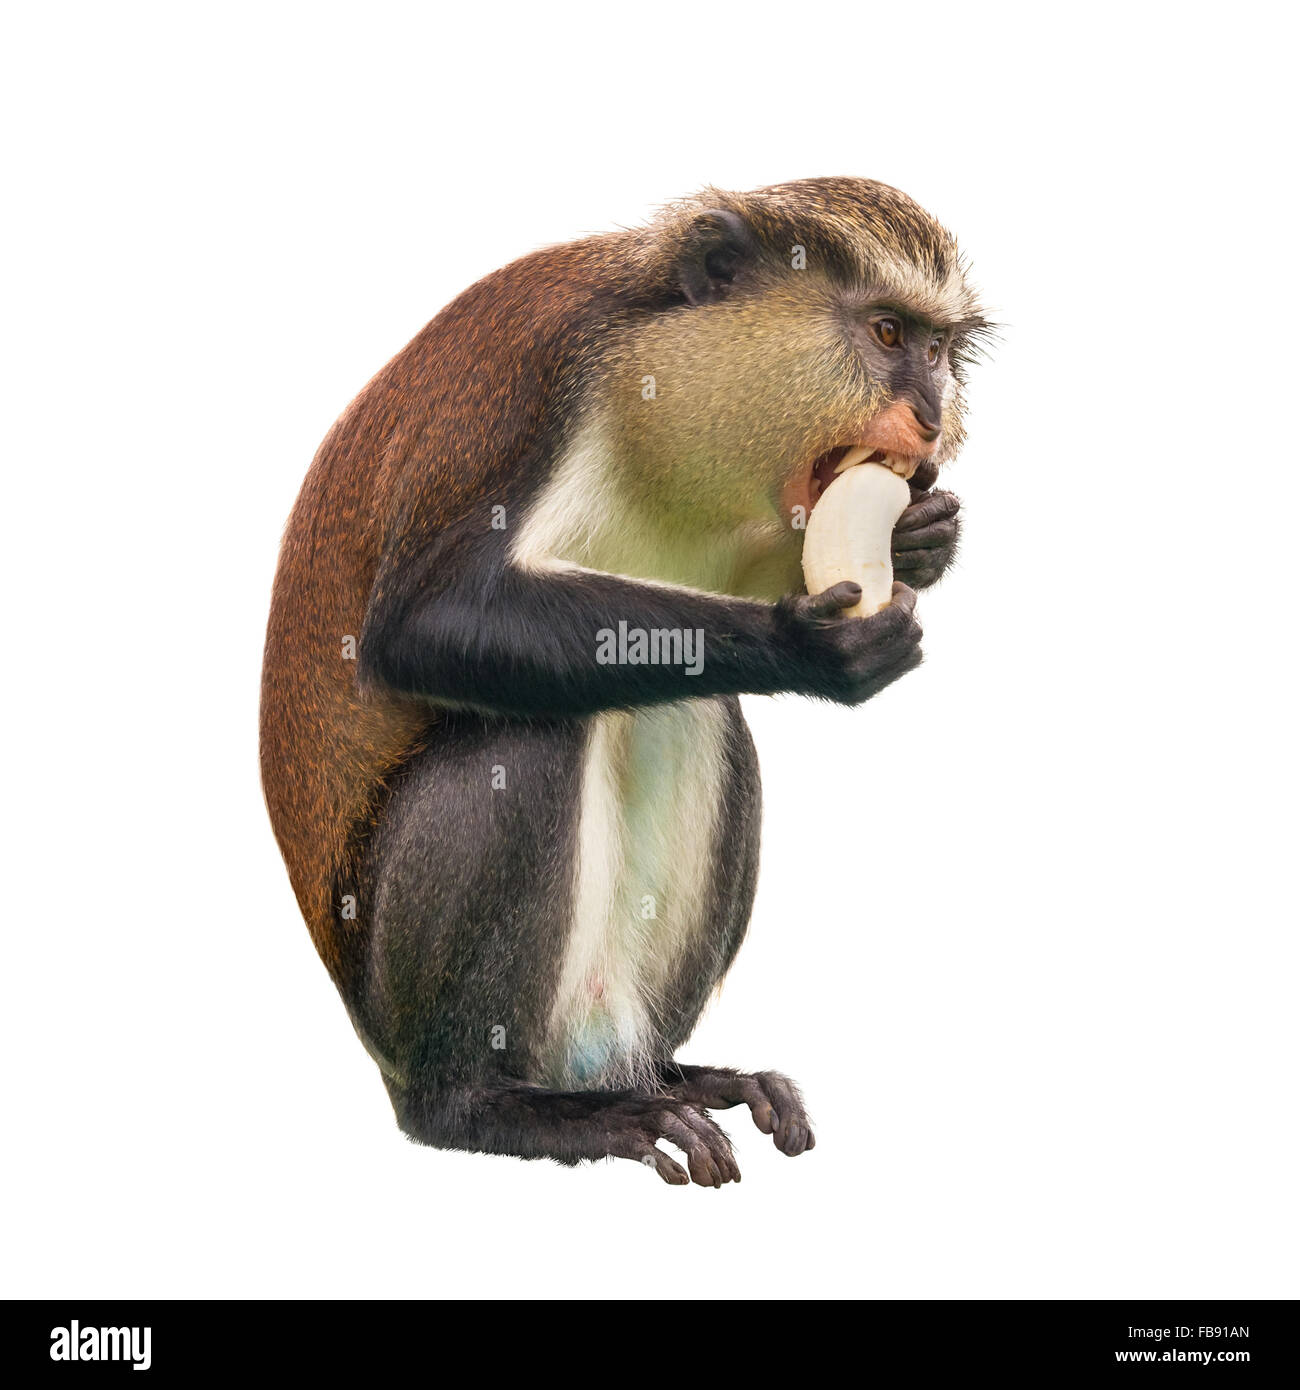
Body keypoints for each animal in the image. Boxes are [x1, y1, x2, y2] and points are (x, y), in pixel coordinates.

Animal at [260, 177, 986, 1186]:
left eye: (939, 351)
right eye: (886, 334)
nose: (926, 412)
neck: (647, 368)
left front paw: (923, 536)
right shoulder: (534, 385)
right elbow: (422, 625)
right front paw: (803, 647)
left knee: (699, 702)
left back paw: (678, 1077)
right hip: (399, 1003)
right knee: (531, 734)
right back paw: (492, 1108)